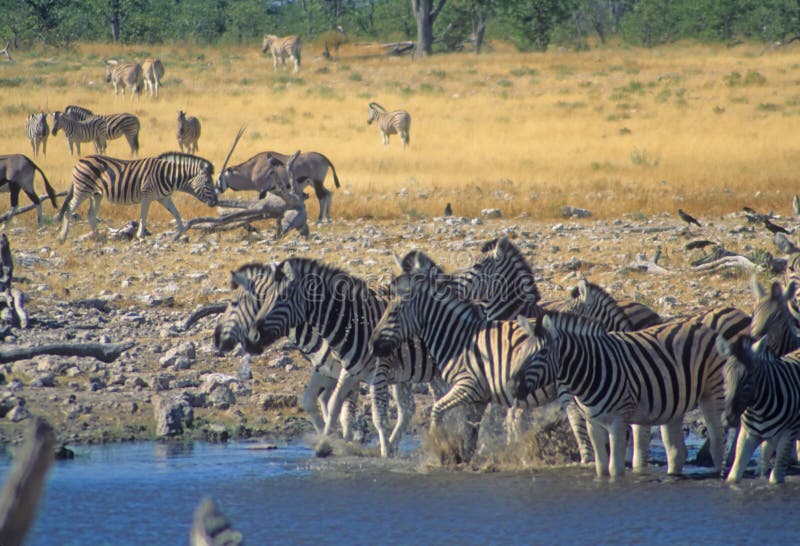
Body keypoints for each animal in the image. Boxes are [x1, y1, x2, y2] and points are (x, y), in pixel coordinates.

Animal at [56, 152, 217, 242]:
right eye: (208, 182)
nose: (216, 202)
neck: (169, 176)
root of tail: (79, 160)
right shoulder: (146, 195)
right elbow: (143, 216)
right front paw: (140, 235)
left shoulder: (164, 198)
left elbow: (177, 214)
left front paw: (180, 234)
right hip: (82, 190)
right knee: (69, 209)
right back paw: (62, 237)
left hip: (95, 194)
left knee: (90, 214)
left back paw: (99, 238)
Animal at [244, 257, 442, 458]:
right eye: (264, 298)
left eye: (282, 297)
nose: (251, 339)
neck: (351, 323)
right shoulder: (341, 371)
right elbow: (328, 404)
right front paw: (328, 442)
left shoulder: (370, 373)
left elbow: (363, 414)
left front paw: (366, 448)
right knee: (410, 408)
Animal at [516, 312, 727, 478]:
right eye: (522, 351)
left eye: (543, 352)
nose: (514, 388)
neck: (591, 369)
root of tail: (702, 326)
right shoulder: (593, 423)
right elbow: (601, 467)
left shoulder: (618, 422)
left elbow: (615, 469)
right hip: (675, 405)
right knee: (676, 451)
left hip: (712, 391)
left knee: (717, 438)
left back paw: (716, 473)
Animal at [716, 336, 800, 484]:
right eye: (724, 376)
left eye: (748, 378)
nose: (729, 418)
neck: (758, 409)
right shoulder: (747, 434)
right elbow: (734, 475)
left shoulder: (789, 433)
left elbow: (775, 479)